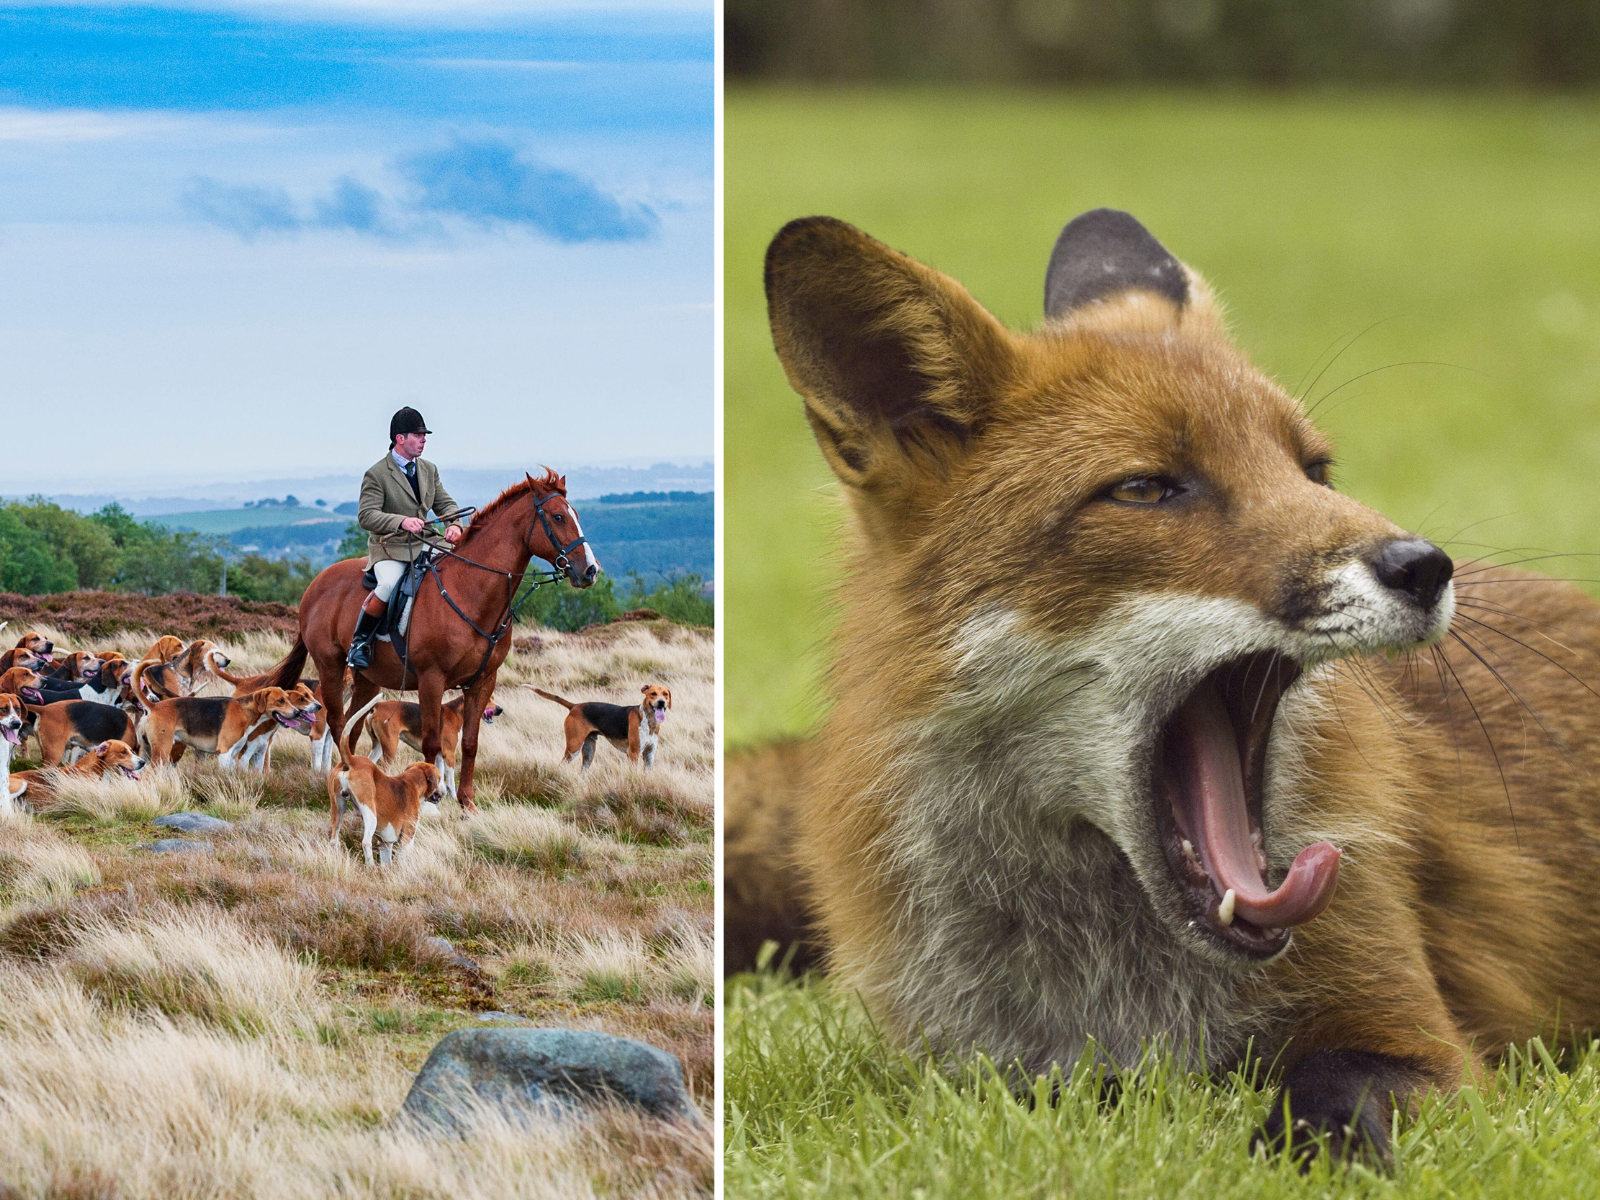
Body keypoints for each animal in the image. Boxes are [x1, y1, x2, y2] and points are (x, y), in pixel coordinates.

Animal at [725, 208, 1600, 1162]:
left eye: (1313, 472)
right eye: (1146, 488)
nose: (1425, 566)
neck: (1113, 979)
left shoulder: (1425, 1045)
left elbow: (1328, 1096)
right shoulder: (969, 1073)